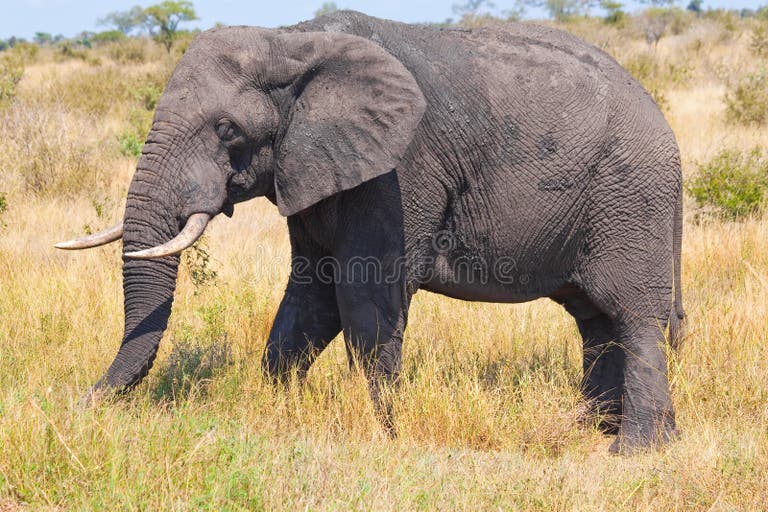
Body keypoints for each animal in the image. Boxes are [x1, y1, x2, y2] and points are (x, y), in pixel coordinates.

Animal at [57, 10, 684, 453]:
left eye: (227, 128)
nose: (78, 406)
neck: (290, 40)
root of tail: (663, 123)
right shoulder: (311, 166)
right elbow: (308, 301)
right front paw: (283, 413)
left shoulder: (399, 173)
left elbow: (365, 299)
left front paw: (383, 432)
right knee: (594, 318)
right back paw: (589, 429)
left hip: (631, 196)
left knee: (632, 313)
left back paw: (635, 451)